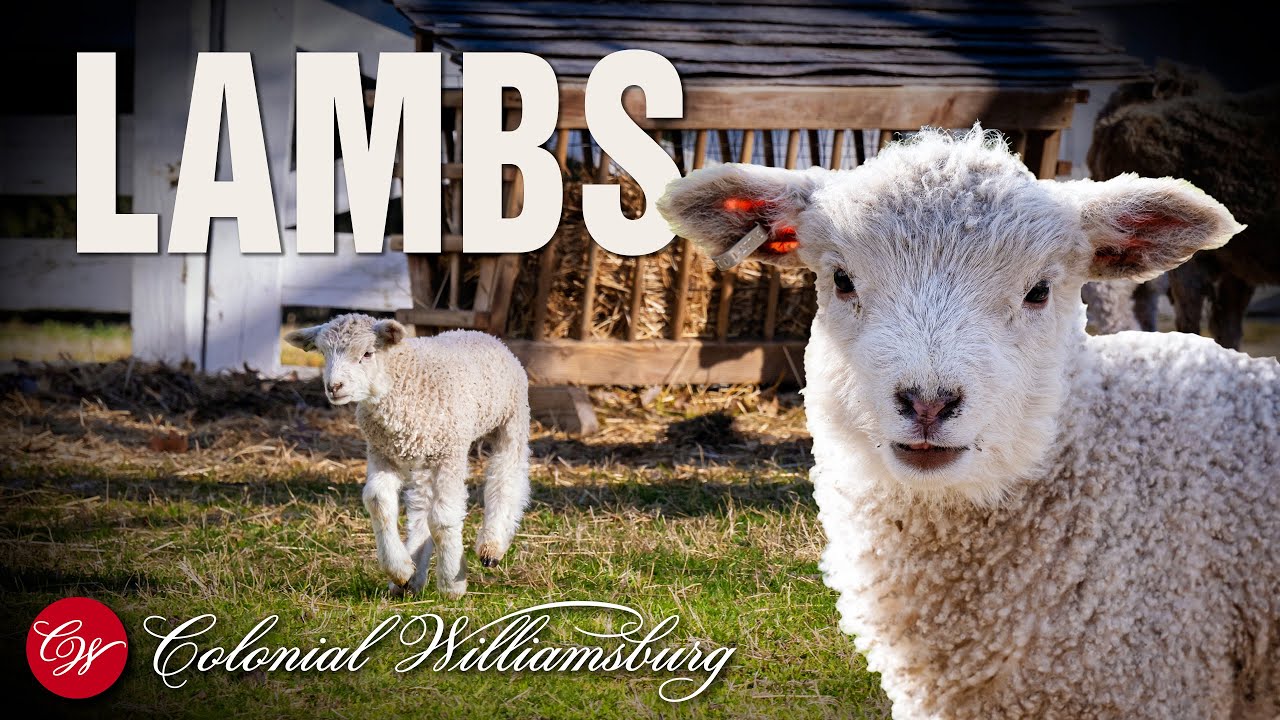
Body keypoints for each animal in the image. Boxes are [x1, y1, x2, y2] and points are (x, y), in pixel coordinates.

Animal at [285, 314, 530, 598]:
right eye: (324, 354)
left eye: (367, 353)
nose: (334, 387)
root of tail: (480, 333)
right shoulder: (381, 452)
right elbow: (378, 502)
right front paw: (400, 569)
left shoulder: (450, 453)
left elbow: (443, 519)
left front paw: (451, 584)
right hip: (424, 456)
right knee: (421, 506)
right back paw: (413, 574)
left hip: (511, 420)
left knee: (506, 476)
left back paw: (492, 546)